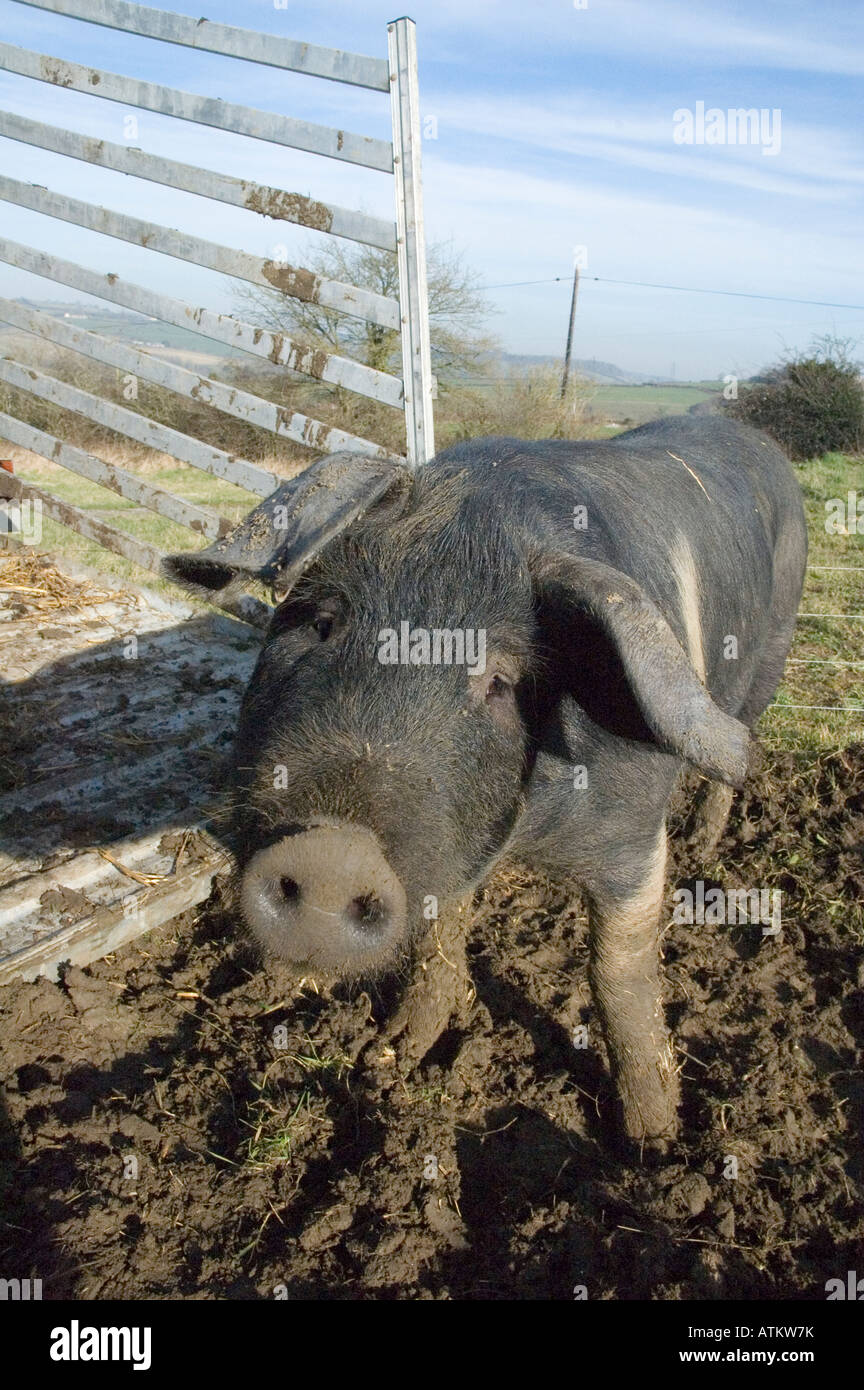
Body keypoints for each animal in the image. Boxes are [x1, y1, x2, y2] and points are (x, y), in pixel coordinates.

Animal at [165, 415, 807, 1148]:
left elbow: (620, 977)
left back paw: (704, 844)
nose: (331, 854)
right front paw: (389, 1058)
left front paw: (653, 1143)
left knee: (737, 753)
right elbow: (440, 940)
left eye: (500, 681)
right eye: (323, 624)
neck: (518, 839)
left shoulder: (636, 841)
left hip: (770, 658)